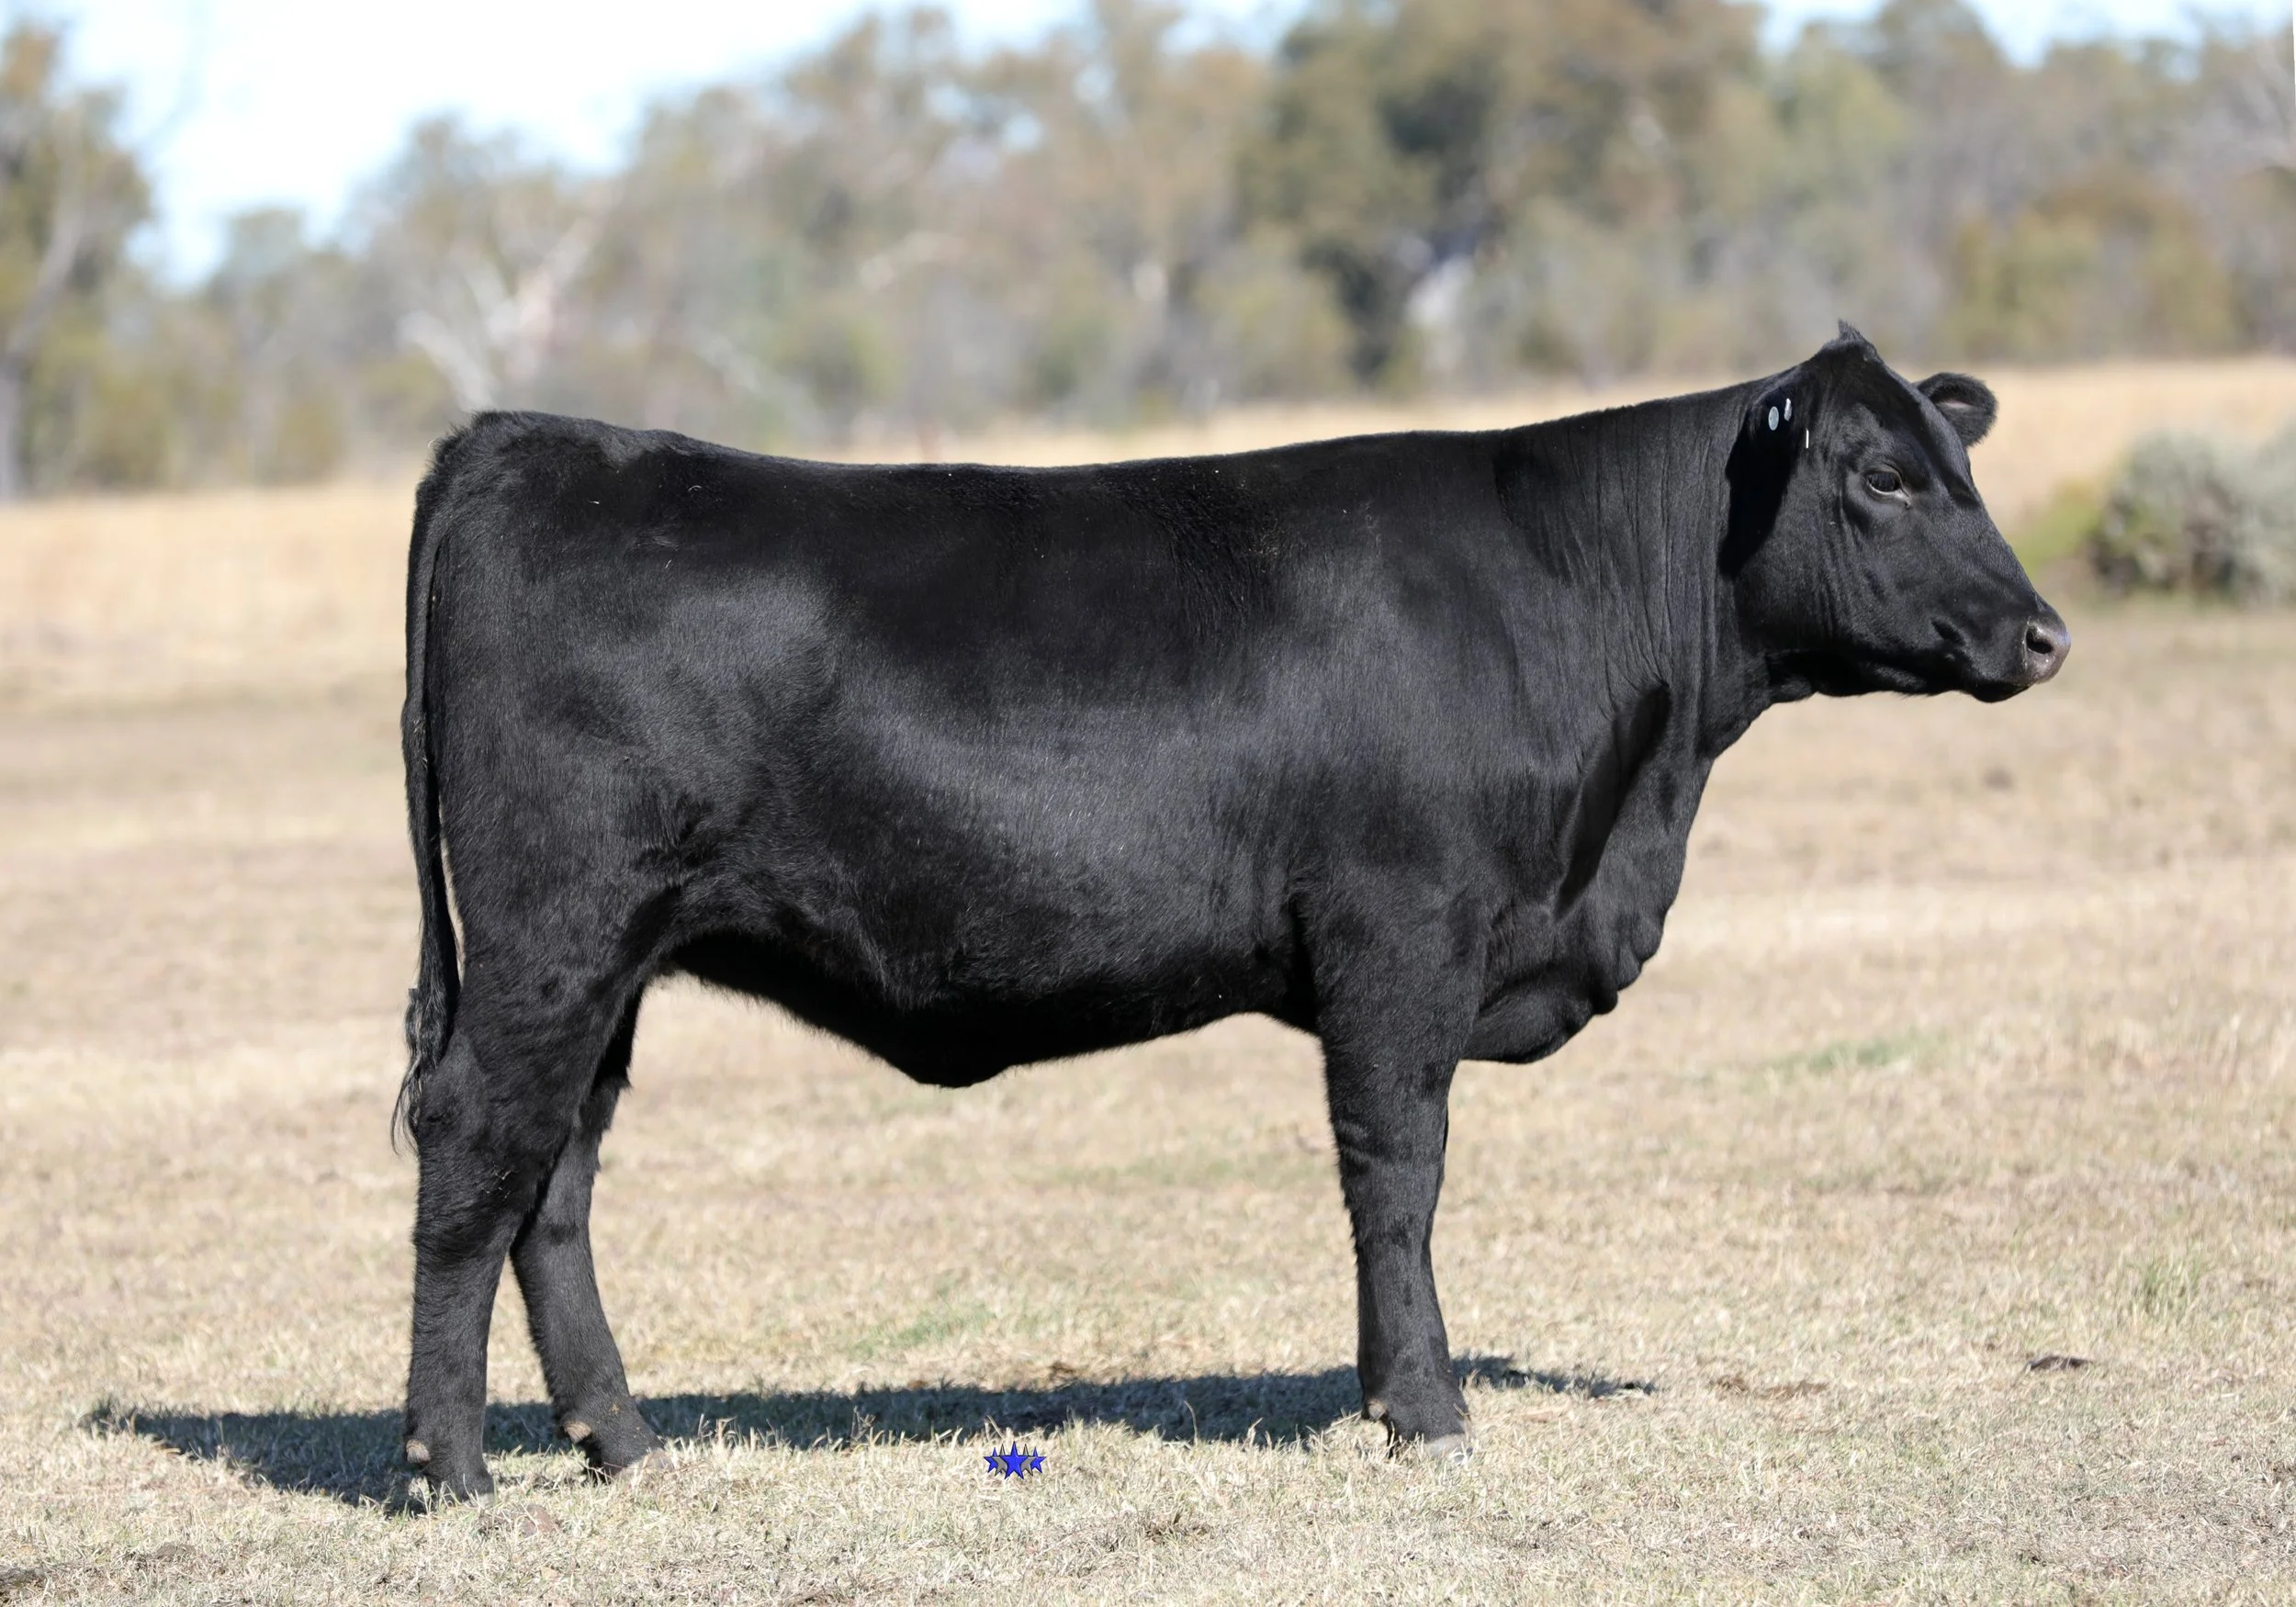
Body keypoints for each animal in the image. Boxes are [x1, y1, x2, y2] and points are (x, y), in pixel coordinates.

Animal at [394, 324, 2067, 1497]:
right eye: (1882, 476)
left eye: (1960, 460)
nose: (2045, 634)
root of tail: (516, 441)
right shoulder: (1400, 936)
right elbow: (1397, 1169)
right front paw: (1422, 1410)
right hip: (555, 935)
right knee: (481, 1143)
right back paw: (450, 1468)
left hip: (611, 964)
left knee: (557, 1177)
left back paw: (620, 1441)